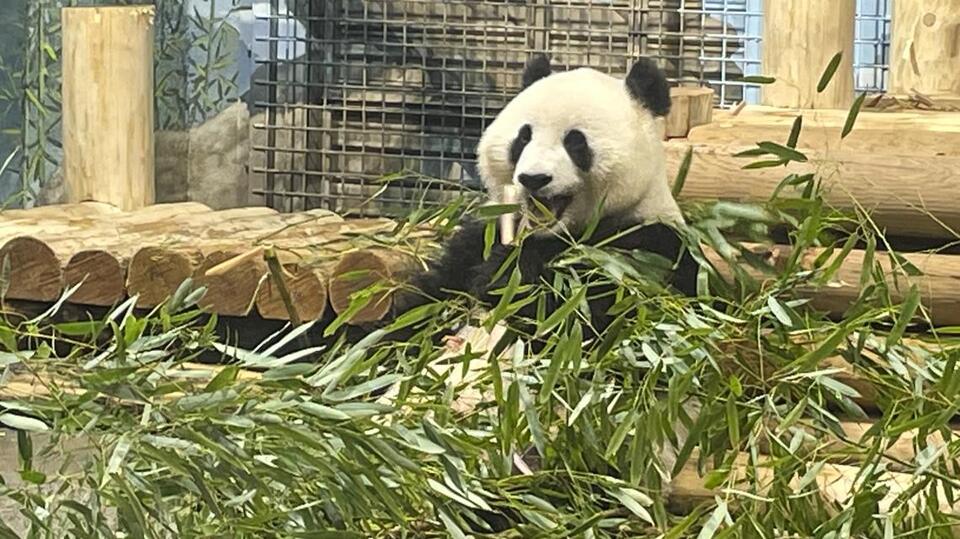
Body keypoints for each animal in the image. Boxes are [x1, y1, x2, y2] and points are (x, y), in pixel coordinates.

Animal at [384, 54, 702, 341]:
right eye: (524, 137)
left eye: (575, 142)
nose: (534, 178)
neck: (548, 233)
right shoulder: (479, 238)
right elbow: (430, 297)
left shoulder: (643, 252)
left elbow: (573, 313)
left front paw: (507, 273)